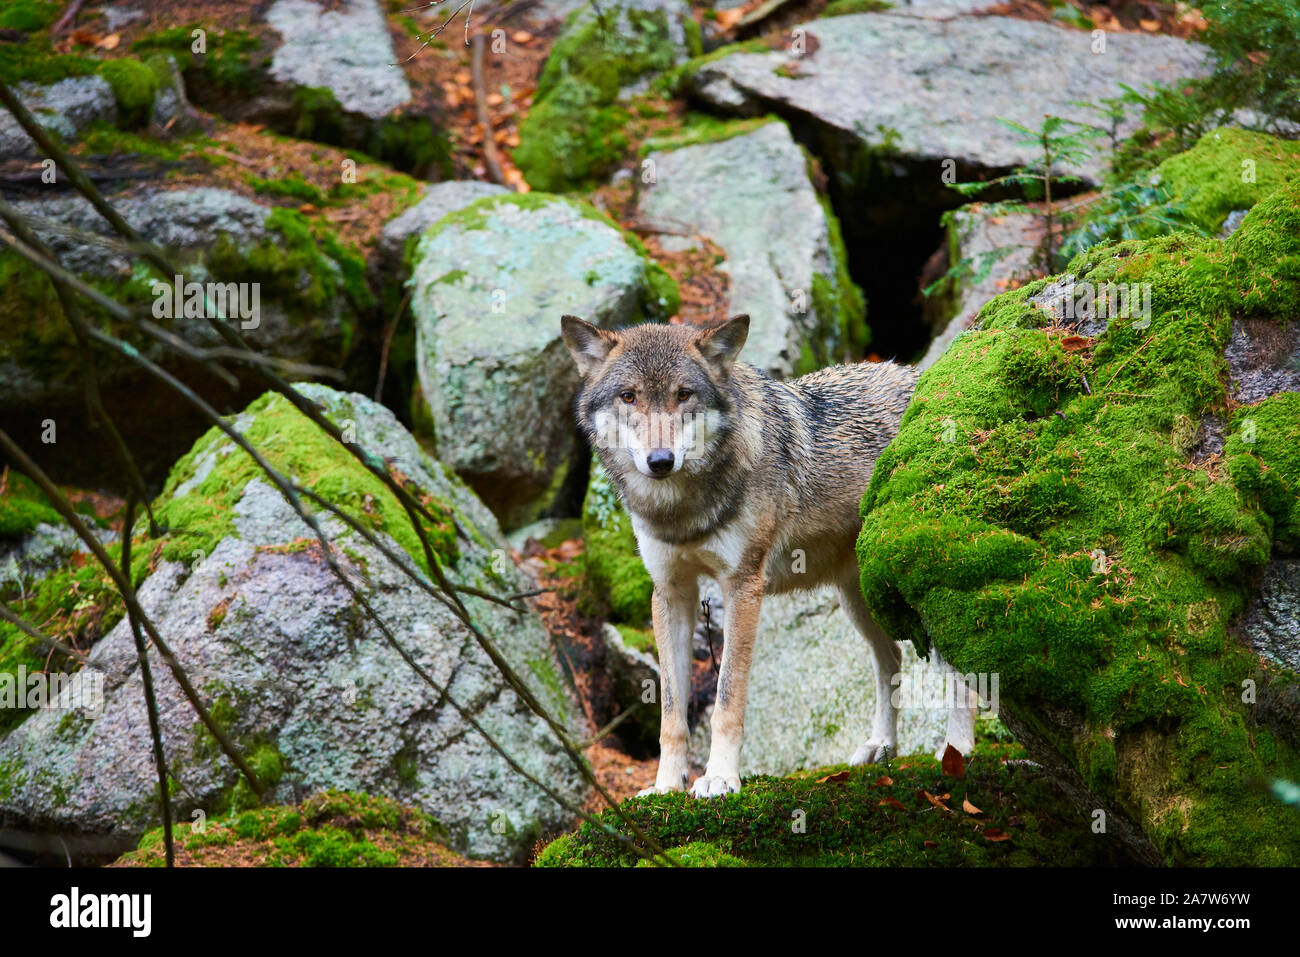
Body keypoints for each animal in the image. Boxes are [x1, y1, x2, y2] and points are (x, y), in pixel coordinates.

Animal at [562, 313, 976, 798]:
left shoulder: (743, 587)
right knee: (891, 658)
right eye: (629, 396)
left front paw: (719, 778)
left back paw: (957, 752)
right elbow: (670, 714)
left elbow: (726, 700)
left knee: (957, 671)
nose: (660, 460)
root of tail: (934, 378)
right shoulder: (670, 592)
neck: (682, 512)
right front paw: (665, 786)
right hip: (859, 600)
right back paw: (881, 747)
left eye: (684, 395)